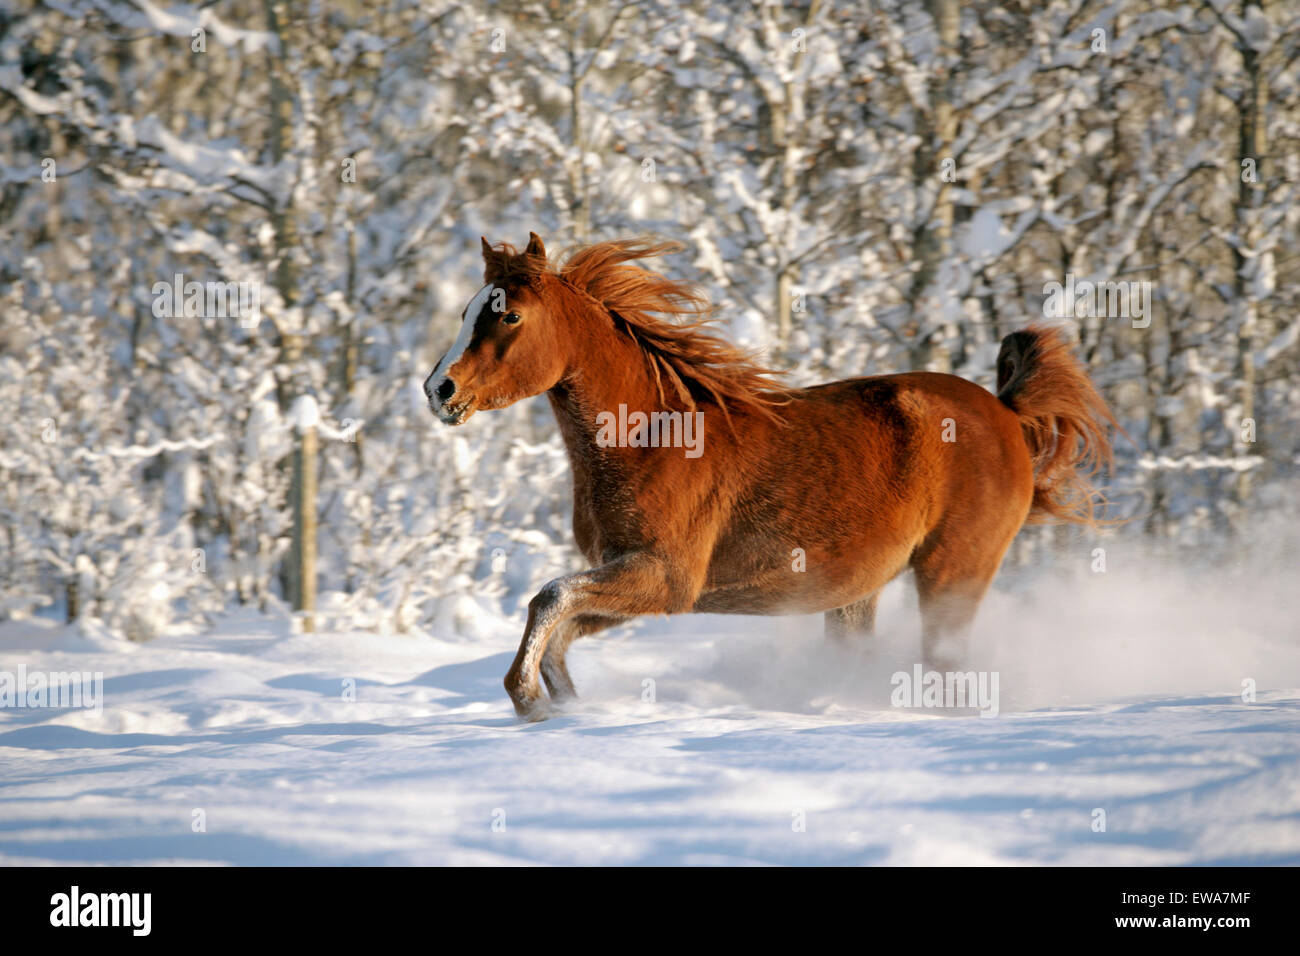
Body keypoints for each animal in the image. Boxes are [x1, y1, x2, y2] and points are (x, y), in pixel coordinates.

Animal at [424, 233, 1118, 720]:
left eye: (509, 316)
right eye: (465, 312)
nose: (439, 390)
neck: (652, 435)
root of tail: (1007, 415)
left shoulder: (664, 578)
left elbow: (549, 599)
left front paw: (526, 700)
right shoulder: (646, 581)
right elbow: (561, 629)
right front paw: (563, 706)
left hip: (953, 572)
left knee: (947, 665)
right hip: (856, 592)